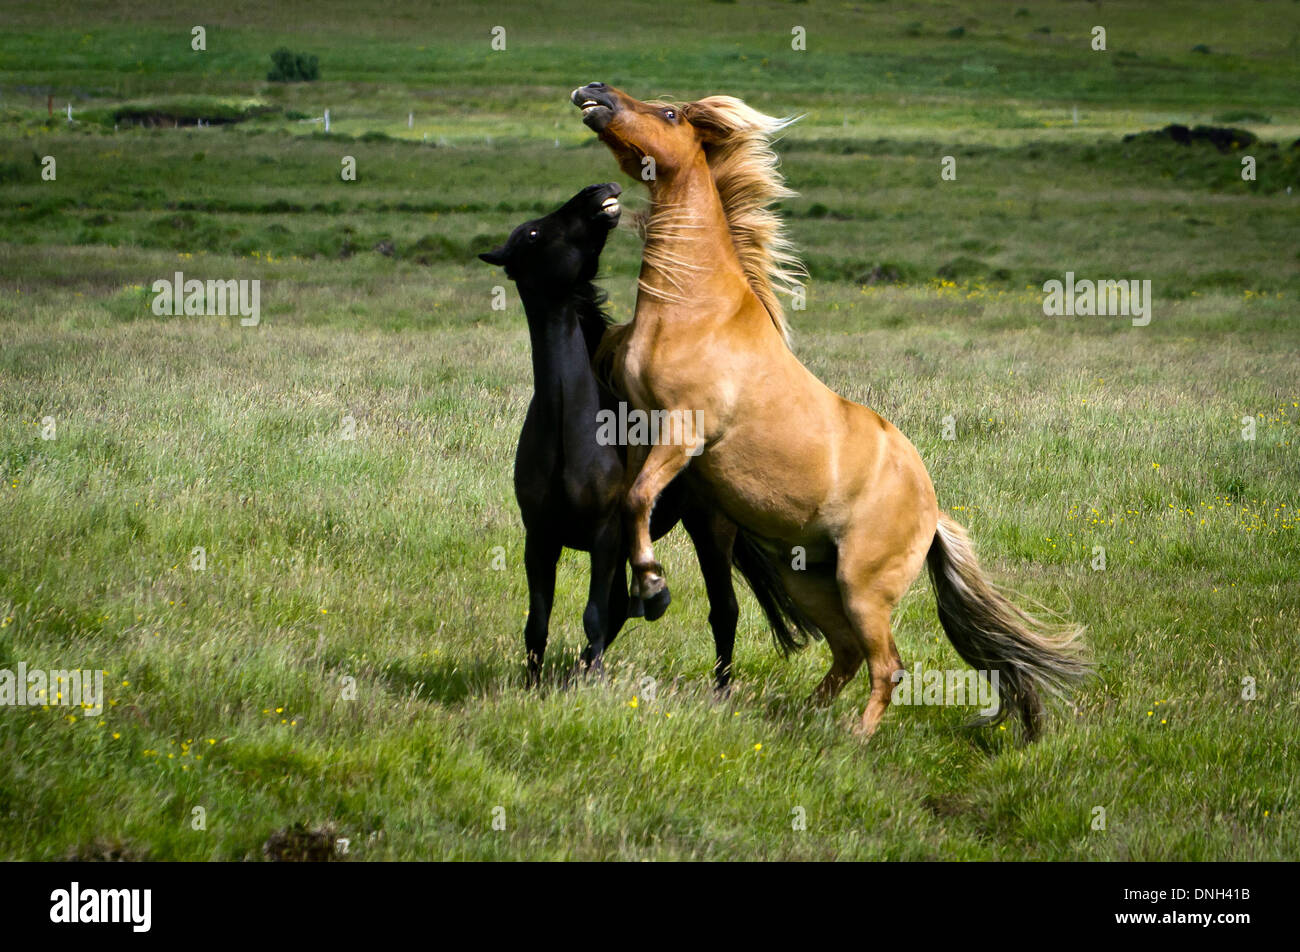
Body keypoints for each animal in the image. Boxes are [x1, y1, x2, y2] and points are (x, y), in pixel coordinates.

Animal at [479, 182, 812, 690]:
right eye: (534, 233)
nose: (600, 192)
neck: (568, 435)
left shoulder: (604, 538)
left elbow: (594, 616)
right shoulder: (540, 539)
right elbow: (538, 622)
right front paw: (536, 686)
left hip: (710, 529)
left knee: (724, 611)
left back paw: (720, 690)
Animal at [569, 84, 1090, 738]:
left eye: (667, 113)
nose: (594, 93)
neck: (696, 311)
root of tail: (934, 515)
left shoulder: (683, 434)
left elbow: (639, 499)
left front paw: (654, 585)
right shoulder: (641, 430)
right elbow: (629, 501)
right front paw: (643, 587)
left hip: (862, 587)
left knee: (886, 664)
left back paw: (854, 739)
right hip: (808, 577)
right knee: (845, 653)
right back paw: (803, 721)